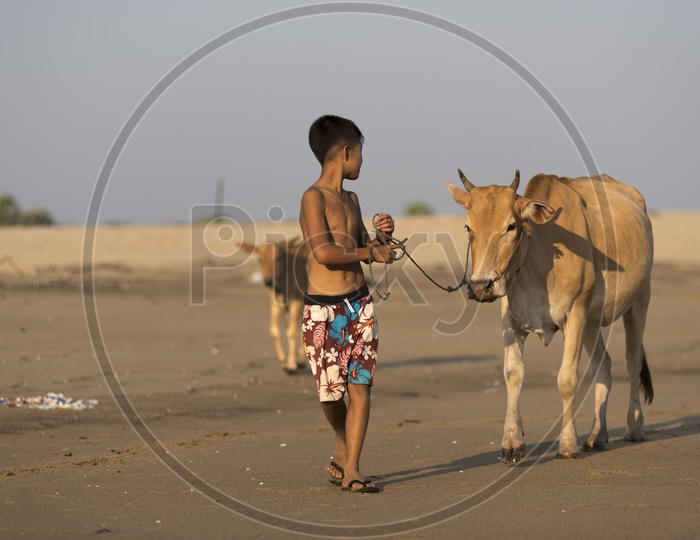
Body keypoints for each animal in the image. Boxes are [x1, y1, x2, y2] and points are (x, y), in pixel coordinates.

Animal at [240, 237, 309, 374]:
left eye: (278, 258)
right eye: (259, 259)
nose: (268, 281)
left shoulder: (297, 302)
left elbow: (292, 332)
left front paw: (291, 365)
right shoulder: (276, 305)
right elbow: (275, 330)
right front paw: (283, 361)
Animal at [446, 170, 654, 463]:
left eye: (511, 226)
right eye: (468, 227)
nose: (480, 286)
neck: (539, 261)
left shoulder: (575, 315)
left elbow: (566, 379)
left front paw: (567, 444)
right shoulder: (511, 322)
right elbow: (513, 374)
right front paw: (512, 443)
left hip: (639, 301)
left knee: (633, 361)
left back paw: (634, 427)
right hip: (592, 323)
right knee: (604, 366)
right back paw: (598, 434)